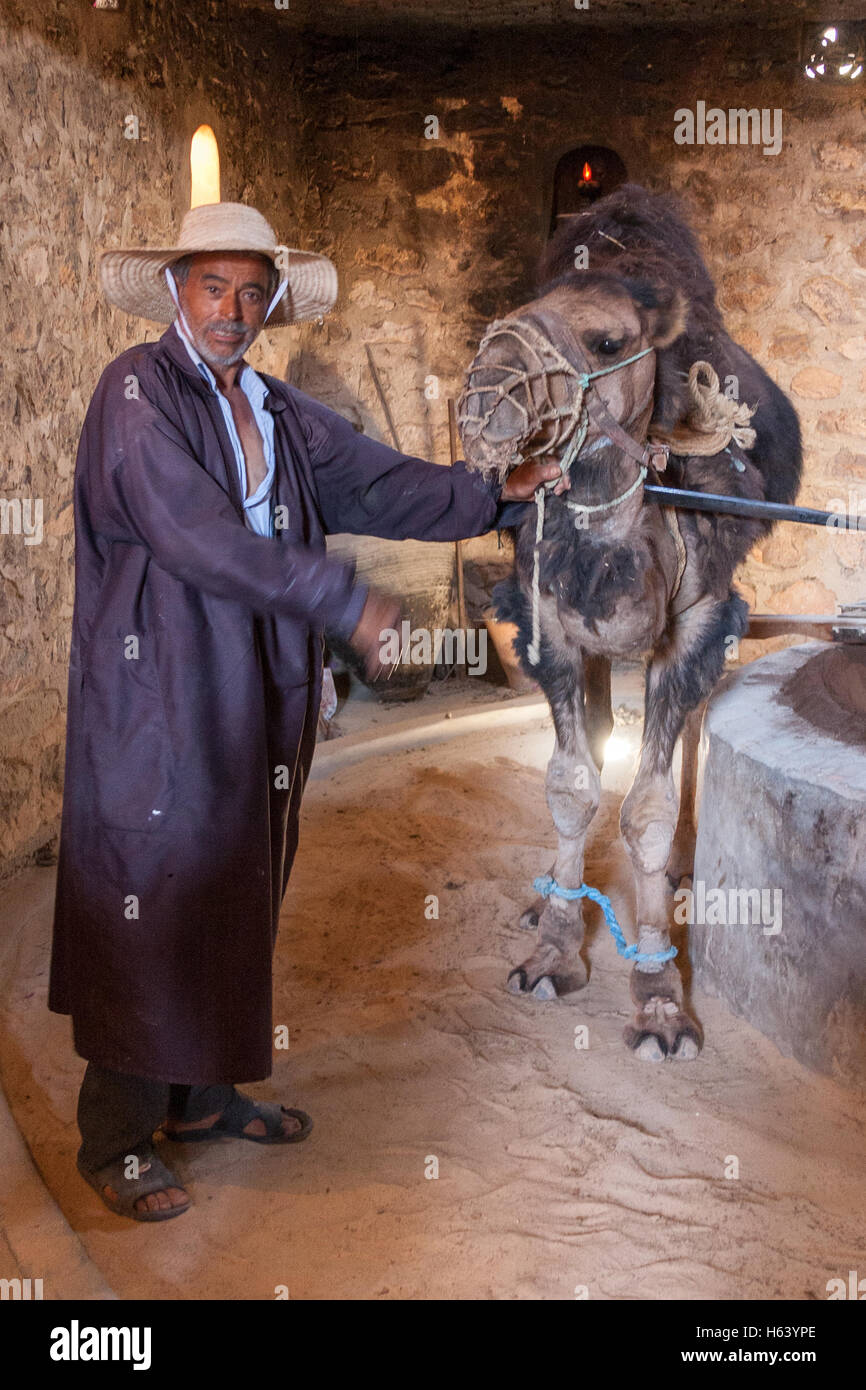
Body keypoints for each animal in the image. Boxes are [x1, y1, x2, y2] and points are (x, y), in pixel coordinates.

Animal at [456, 184, 802, 1060]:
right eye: (510, 317)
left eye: (606, 339)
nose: (485, 398)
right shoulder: (550, 622)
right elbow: (572, 785)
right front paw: (551, 950)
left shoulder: (700, 620)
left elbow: (645, 808)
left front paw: (657, 998)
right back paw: (547, 896)